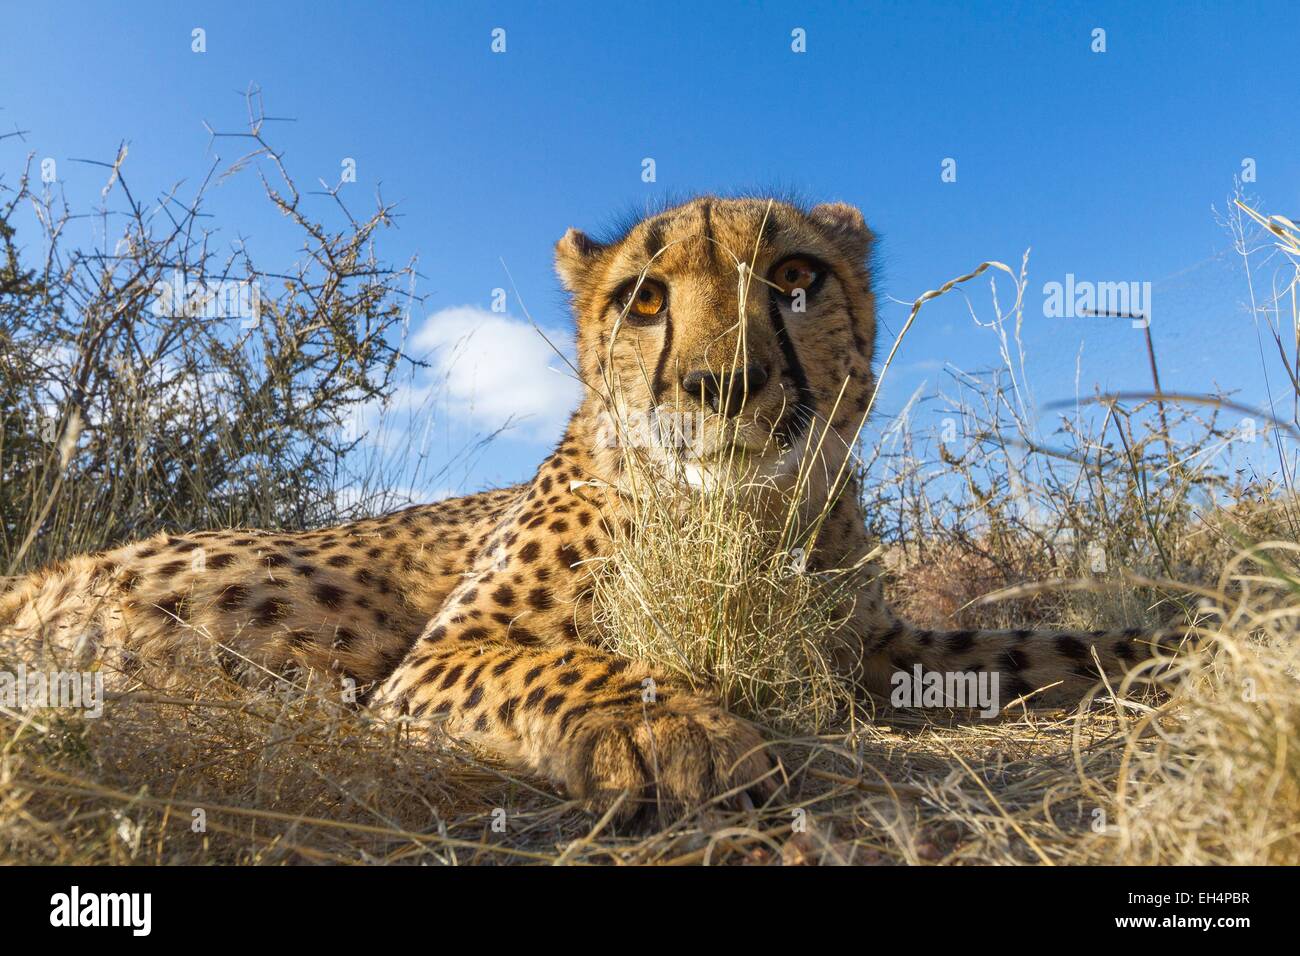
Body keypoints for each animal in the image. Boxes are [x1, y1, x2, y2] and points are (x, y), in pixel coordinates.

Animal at [0, 196, 1185, 823]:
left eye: (796, 278)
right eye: (644, 298)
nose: (720, 384)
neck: (743, 519)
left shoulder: (878, 643)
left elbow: (1044, 644)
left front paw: (1186, 648)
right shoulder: (437, 657)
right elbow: (568, 659)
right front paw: (669, 721)